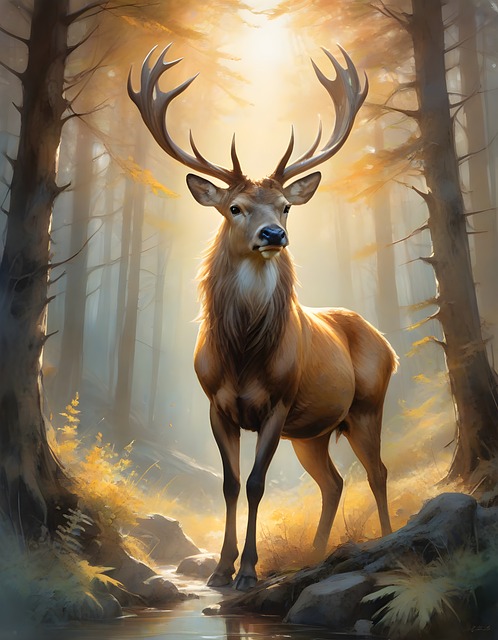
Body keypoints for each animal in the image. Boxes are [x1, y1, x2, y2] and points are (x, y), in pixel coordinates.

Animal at [128, 44, 398, 591]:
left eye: (285, 207)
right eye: (234, 207)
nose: (274, 234)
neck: (244, 357)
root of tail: (389, 346)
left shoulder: (279, 401)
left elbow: (255, 483)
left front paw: (248, 571)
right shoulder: (216, 403)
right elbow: (230, 484)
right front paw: (219, 569)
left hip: (366, 405)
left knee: (377, 472)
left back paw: (382, 537)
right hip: (313, 432)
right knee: (334, 482)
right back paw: (313, 554)